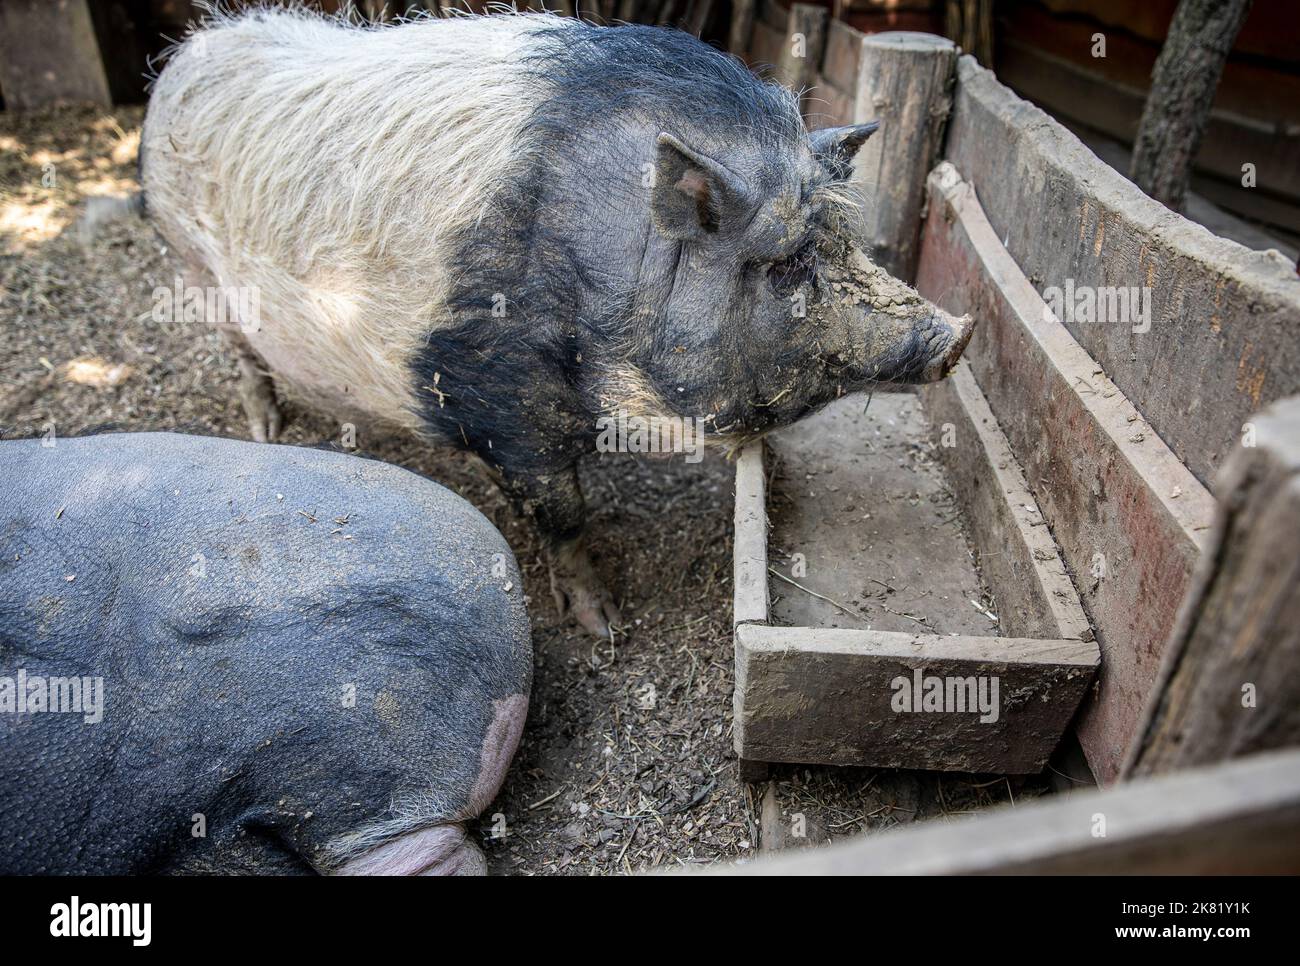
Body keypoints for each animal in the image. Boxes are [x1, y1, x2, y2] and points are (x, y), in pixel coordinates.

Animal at [137, 9, 973, 639]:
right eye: (784, 263)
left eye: (840, 241)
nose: (958, 333)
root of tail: (185, 57)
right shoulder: (506, 402)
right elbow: (564, 514)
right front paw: (605, 627)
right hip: (193, 267)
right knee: (240, 356)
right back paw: (266, 431)